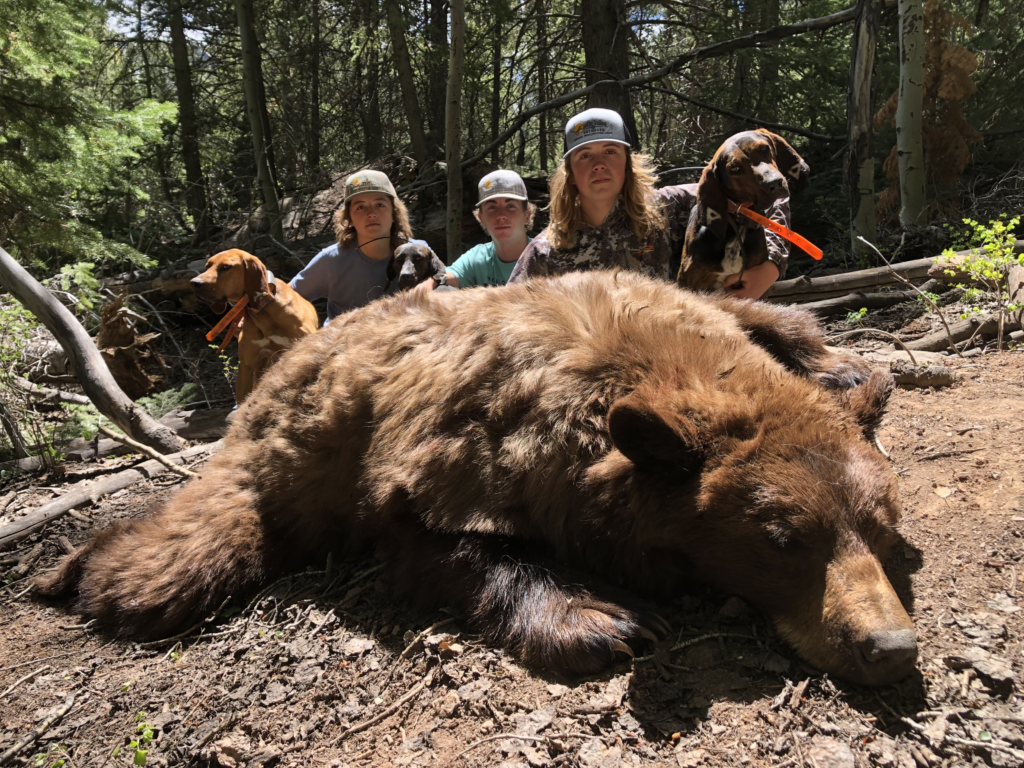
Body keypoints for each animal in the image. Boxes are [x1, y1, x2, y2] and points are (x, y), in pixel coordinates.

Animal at [36, 270, 917, 686]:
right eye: (782, 539)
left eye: (882, 530)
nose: (889, 646)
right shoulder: (451, 452)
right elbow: (438, 542)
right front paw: (600, 618)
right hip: (276, 465)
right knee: (179, 557)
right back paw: (71, 571)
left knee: (784, 319)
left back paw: (855, 372)